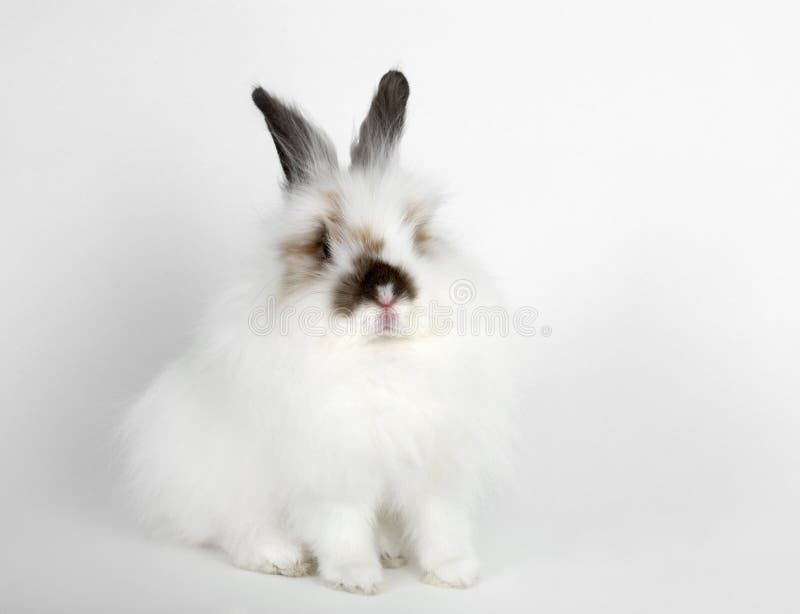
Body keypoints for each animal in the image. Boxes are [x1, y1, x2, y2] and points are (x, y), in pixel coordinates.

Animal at [121, 70, 517, 595]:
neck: (379, 358)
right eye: (324, 246)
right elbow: (342, 526)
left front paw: (454, 572)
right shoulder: (329, 471)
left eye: (416, 237)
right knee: (238, 530)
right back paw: (282, 557)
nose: (387, 293)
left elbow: (440, 521)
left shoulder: (434, 467)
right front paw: (357, 578)